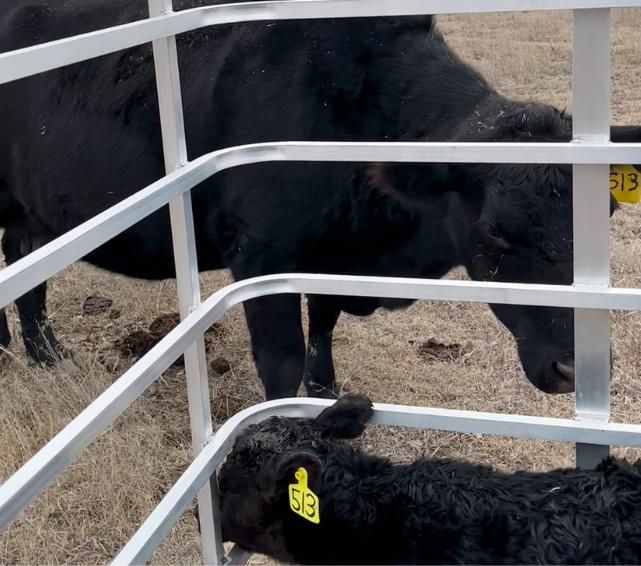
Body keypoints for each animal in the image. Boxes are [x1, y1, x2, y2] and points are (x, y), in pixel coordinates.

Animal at [1, 2, 639, 398]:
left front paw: (326, 390)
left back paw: (36, 352)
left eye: (604, 216)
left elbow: (325, 323)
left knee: (23, 262)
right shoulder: (261, 256)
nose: (576, 368)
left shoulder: (332, 256)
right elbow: (279, 361)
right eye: (496, 233)